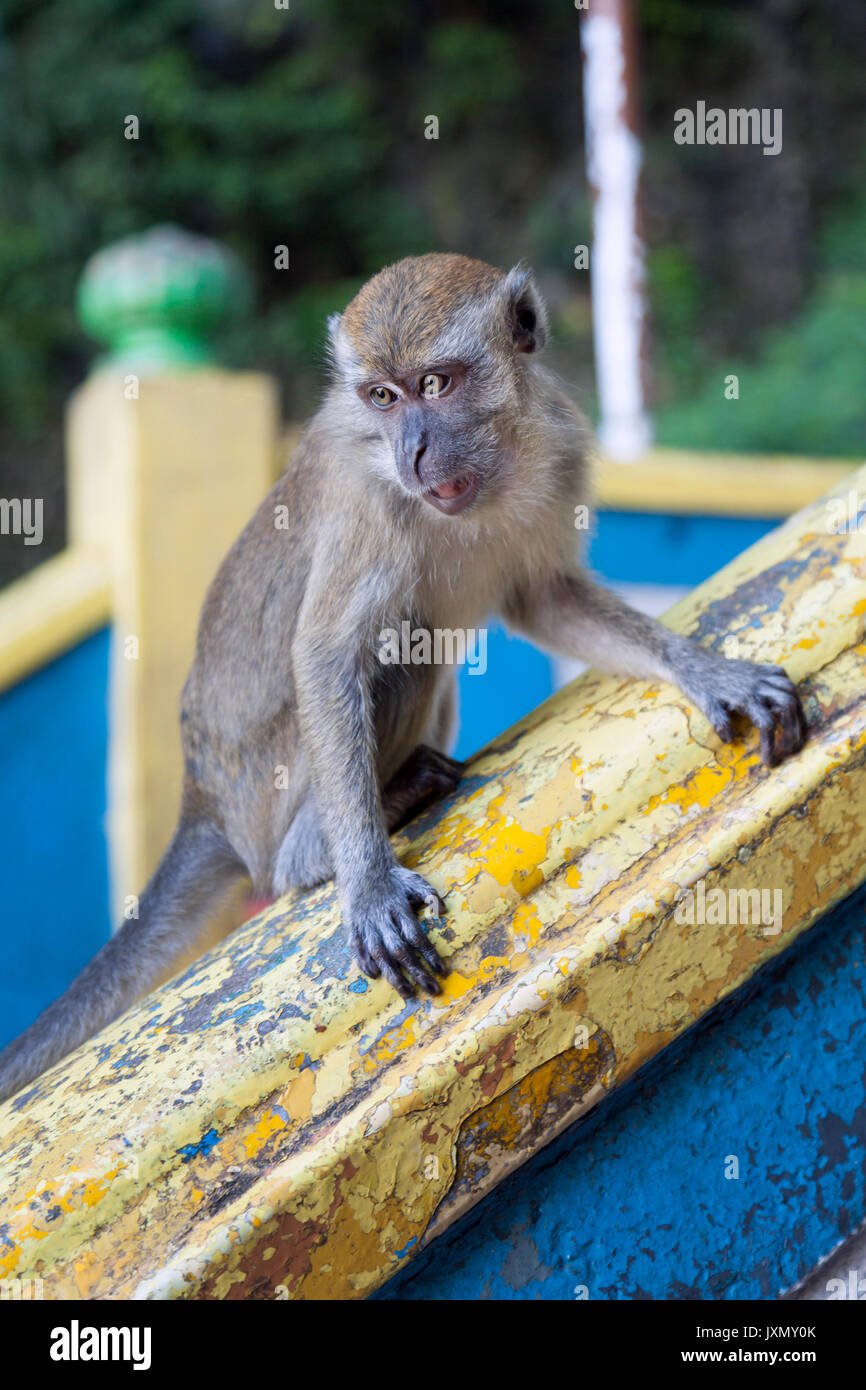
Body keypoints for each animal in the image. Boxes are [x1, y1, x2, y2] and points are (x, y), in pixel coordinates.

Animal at [0, 253, 807, 1104]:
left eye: (435, 385)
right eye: (383, 398)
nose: (414, 453)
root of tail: (204, 798)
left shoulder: (555, 445)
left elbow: (545, 597)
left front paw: (708, 671)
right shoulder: (370, 502)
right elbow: (327, 654)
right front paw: (366, 883)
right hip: (268, 784)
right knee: (405, 648)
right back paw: (323, 850)